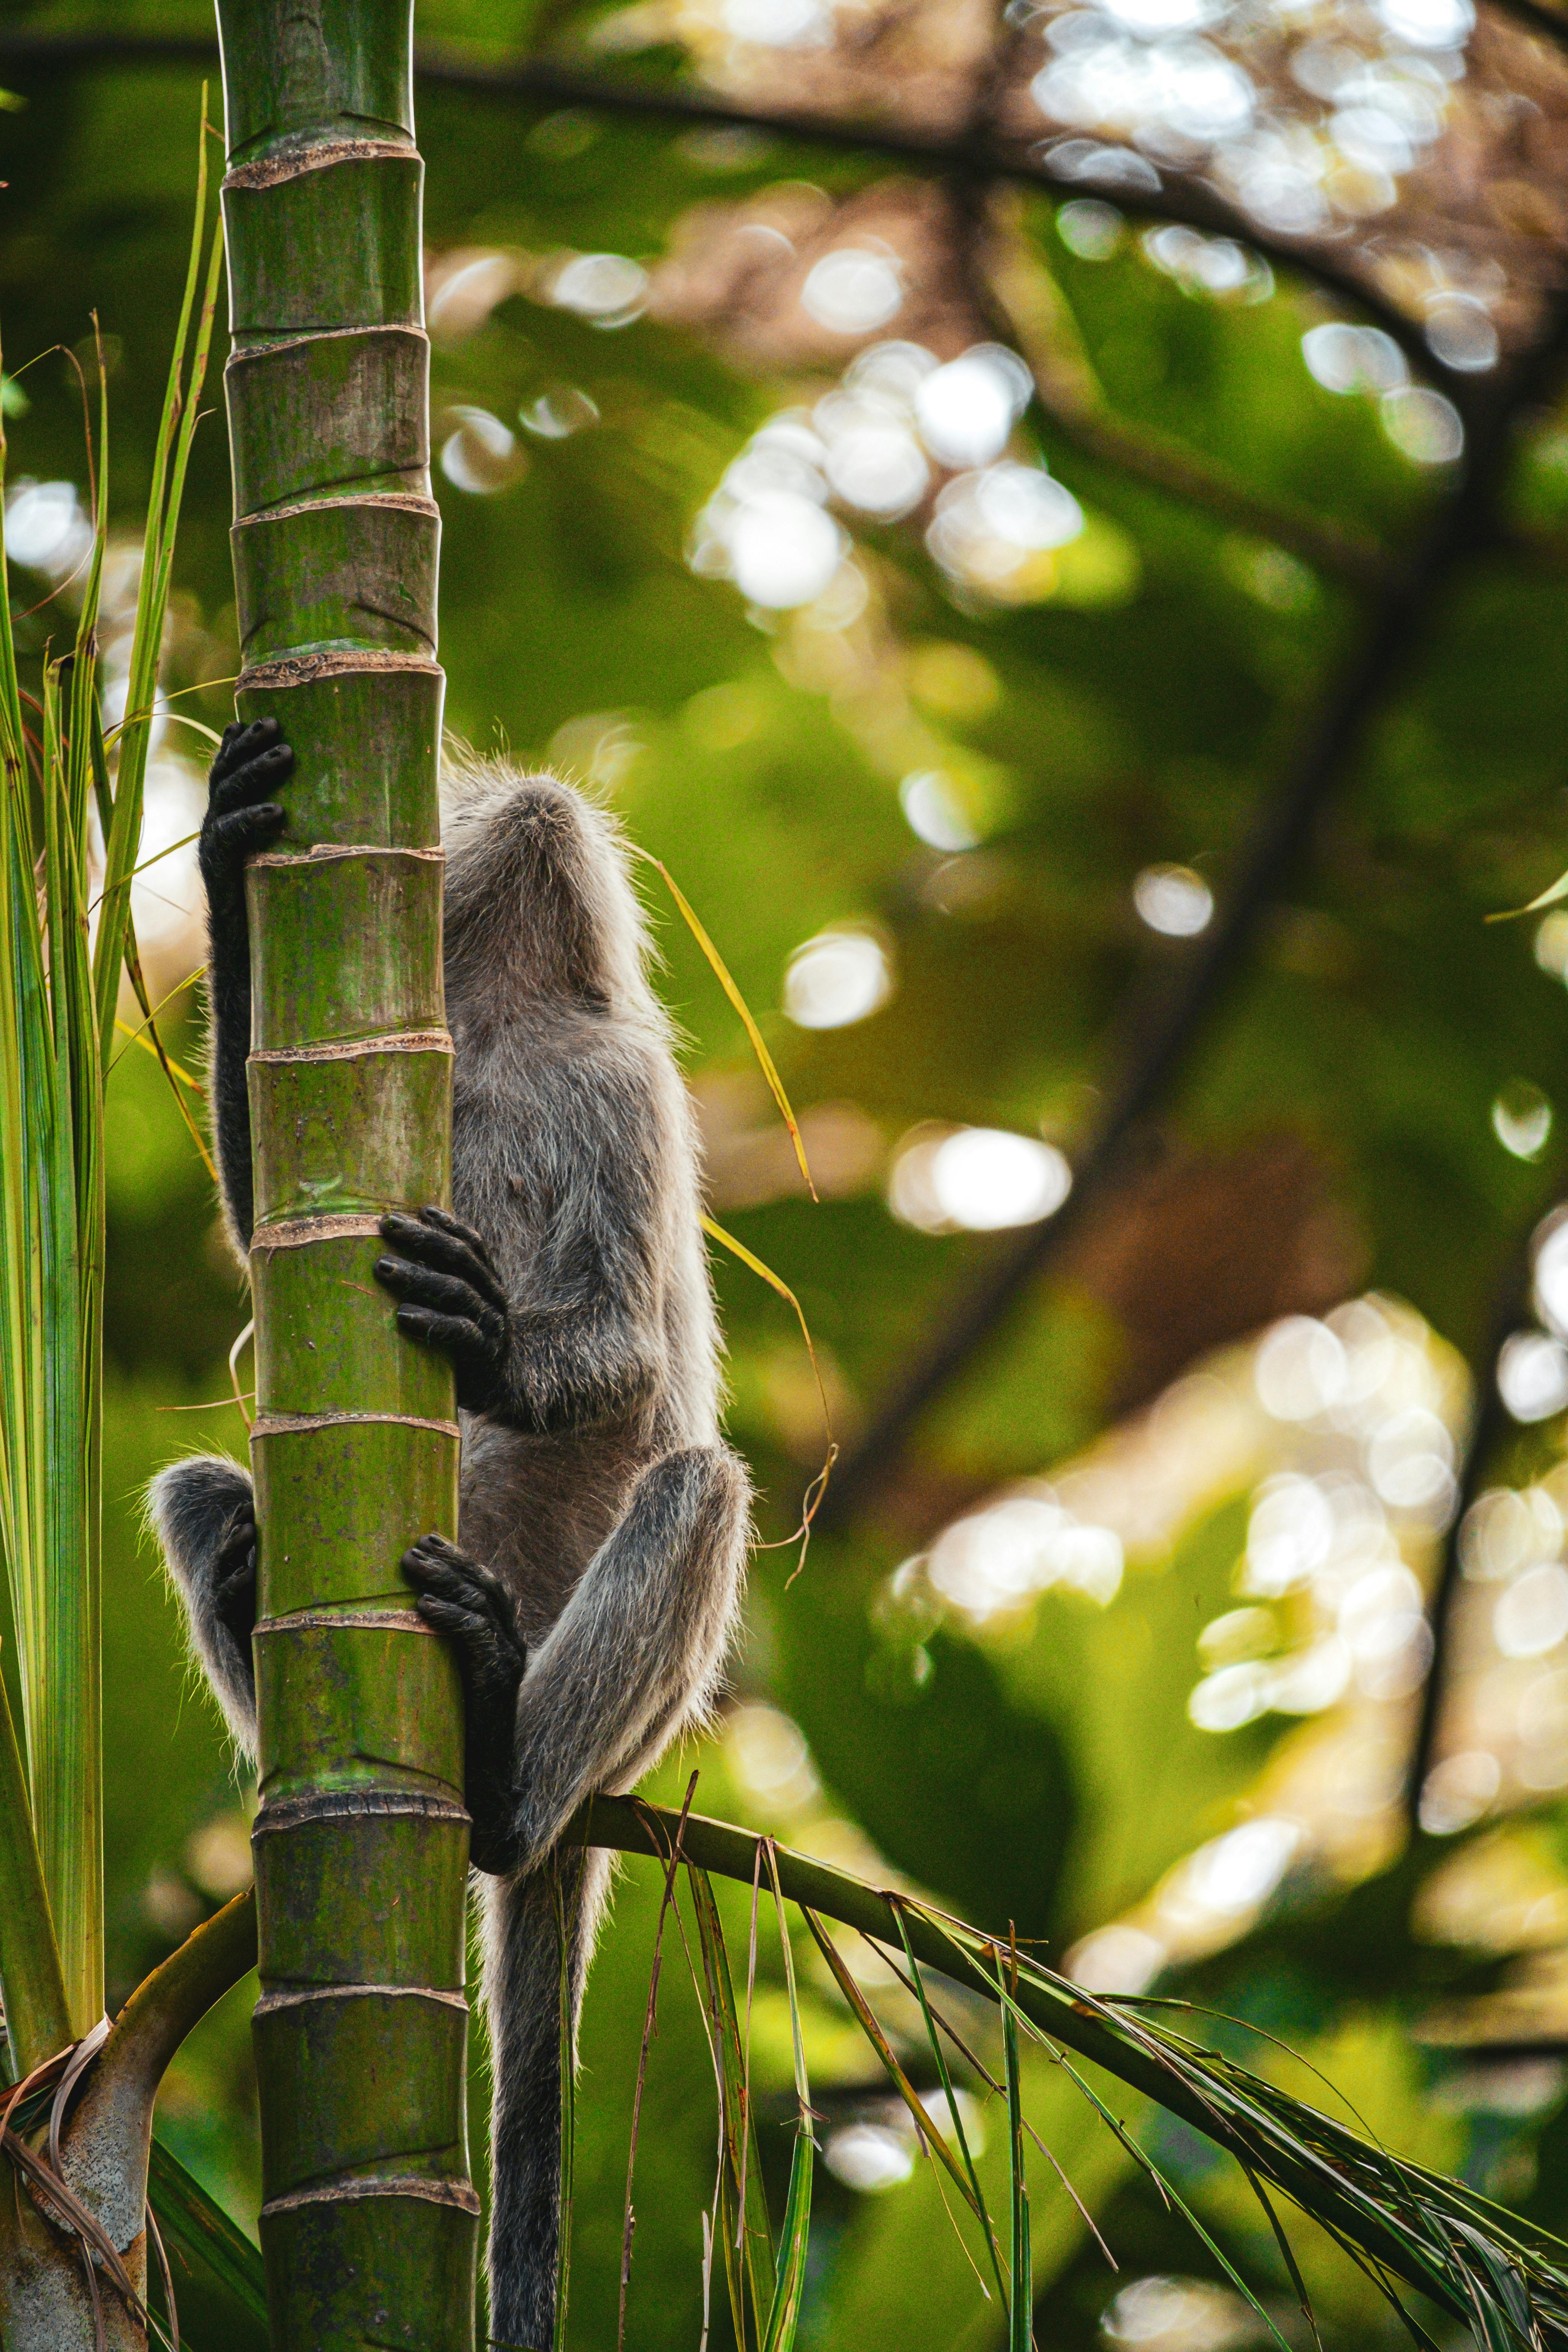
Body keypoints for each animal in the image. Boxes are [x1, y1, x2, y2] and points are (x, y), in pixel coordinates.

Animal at [149, 715, 751, 2350]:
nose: (536, 798)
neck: (506, 1034)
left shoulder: (619, 1083)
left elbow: (620, 1352)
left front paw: (490, 1353)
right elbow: (260, 1234)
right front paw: (227, 861)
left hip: (620, 1708)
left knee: (698, 1484)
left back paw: (495, 1768)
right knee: (204, 1488)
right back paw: (262, 1584)